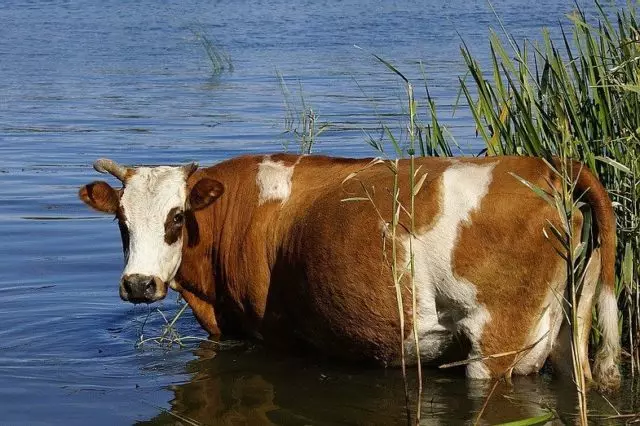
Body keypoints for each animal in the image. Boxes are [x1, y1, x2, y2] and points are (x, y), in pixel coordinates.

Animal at [77, 155, 624, 392]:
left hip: (496, 341)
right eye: (121, 221)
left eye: (176, 218)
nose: (139, 284)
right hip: (563, 331)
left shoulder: (270, 335)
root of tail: (545, 166)